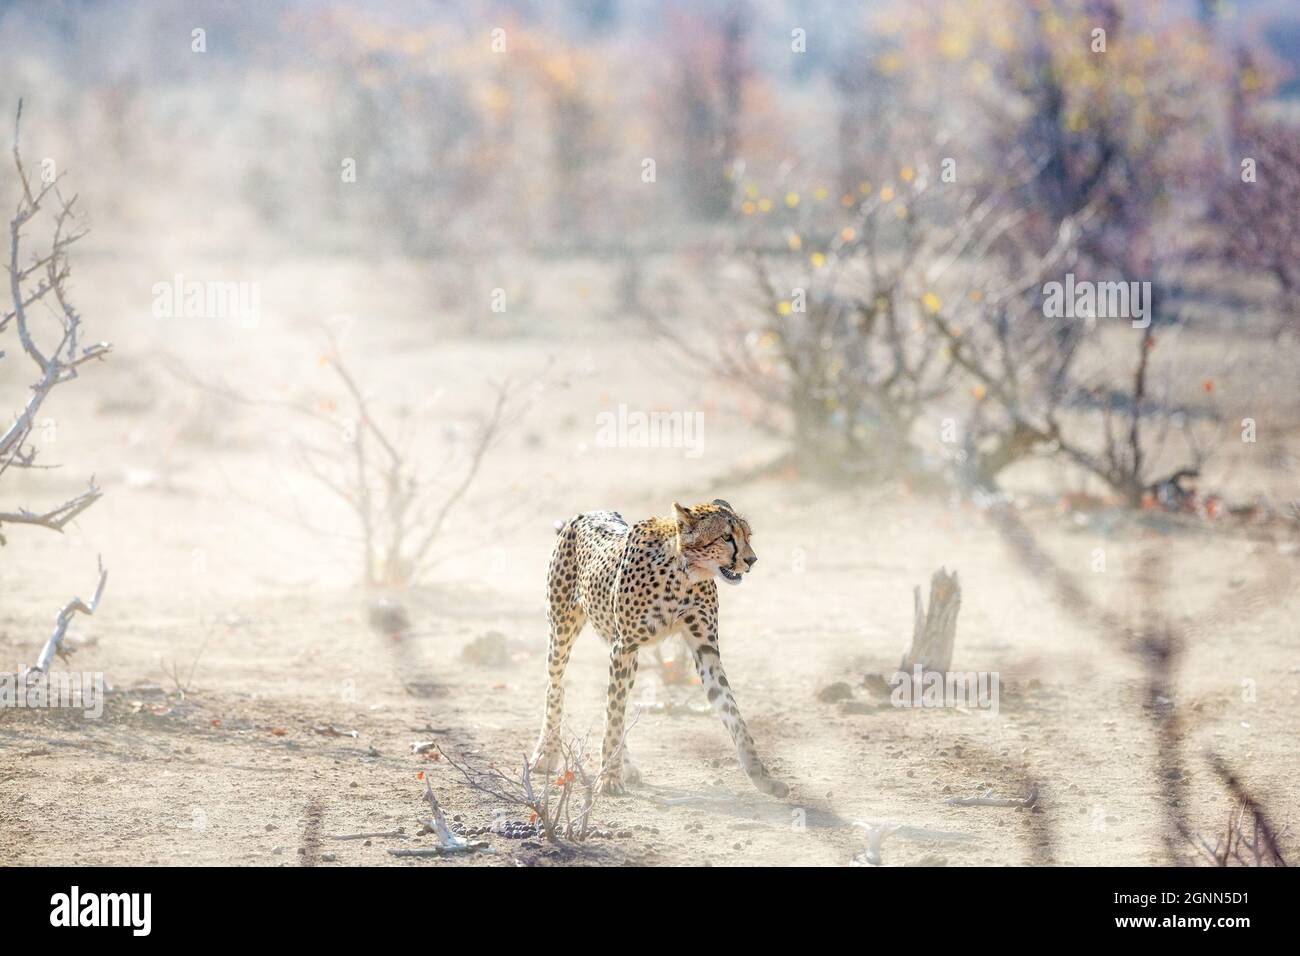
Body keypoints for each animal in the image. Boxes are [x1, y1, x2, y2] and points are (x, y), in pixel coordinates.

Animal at [530, 498, 788, 798]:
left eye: (747, 535)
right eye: (726, 537)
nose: (751, 560)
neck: (683, 573)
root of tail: (586, 513)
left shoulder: (705, 650)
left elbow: (733, 713)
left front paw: (762, 776)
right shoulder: (624, 647)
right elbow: (614, 717)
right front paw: (609, 777)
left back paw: (626, 766)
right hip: (563, 632)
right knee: (557, 688)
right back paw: (547, 752)